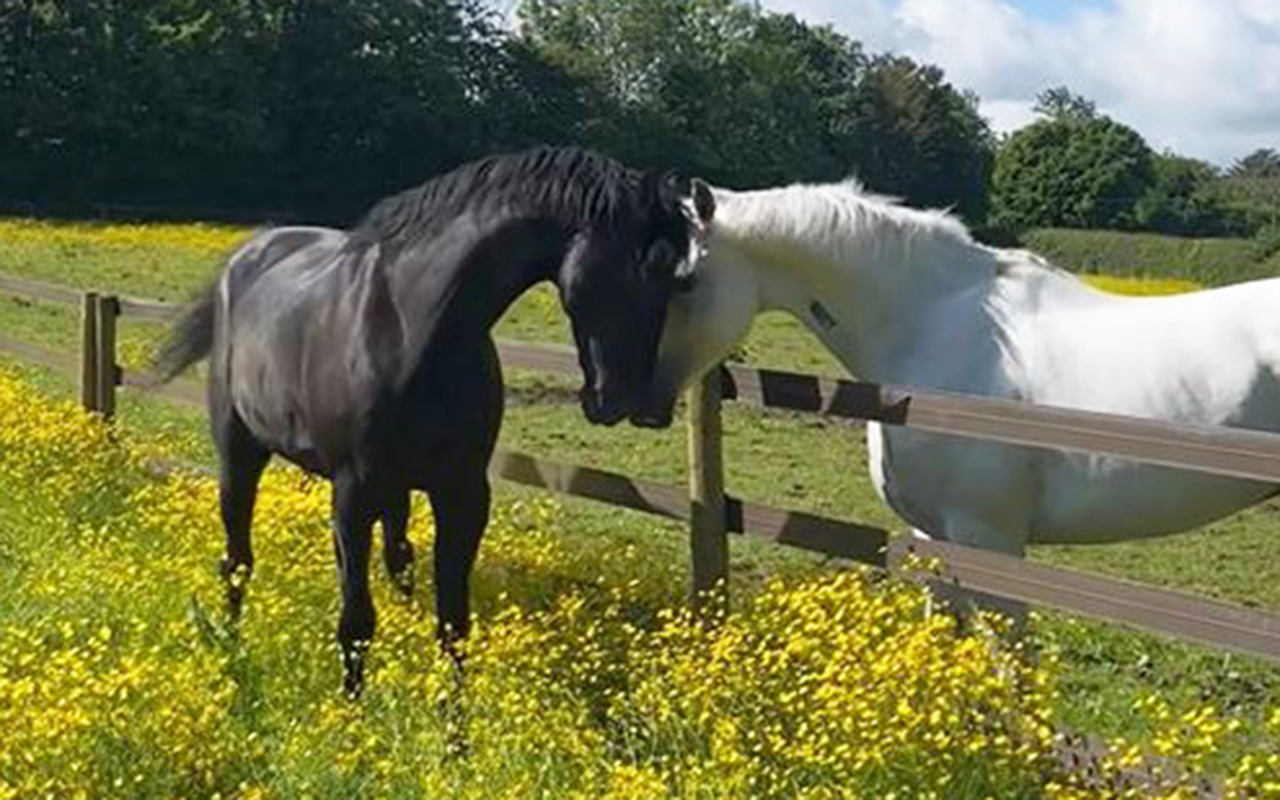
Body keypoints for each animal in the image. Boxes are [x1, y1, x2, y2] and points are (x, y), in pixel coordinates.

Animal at [155, 147, 712, 695]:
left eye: (677, 280)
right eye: (638, 268)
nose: (627, 401)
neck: (412, 328)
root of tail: (247, 256)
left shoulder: (462, 494)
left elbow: (453, 625)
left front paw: (453, 722)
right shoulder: (353, 495)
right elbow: (356, 622)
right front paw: (354, 716)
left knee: (396, 558)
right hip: (241, 454)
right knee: (237, 562)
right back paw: (230, 652)